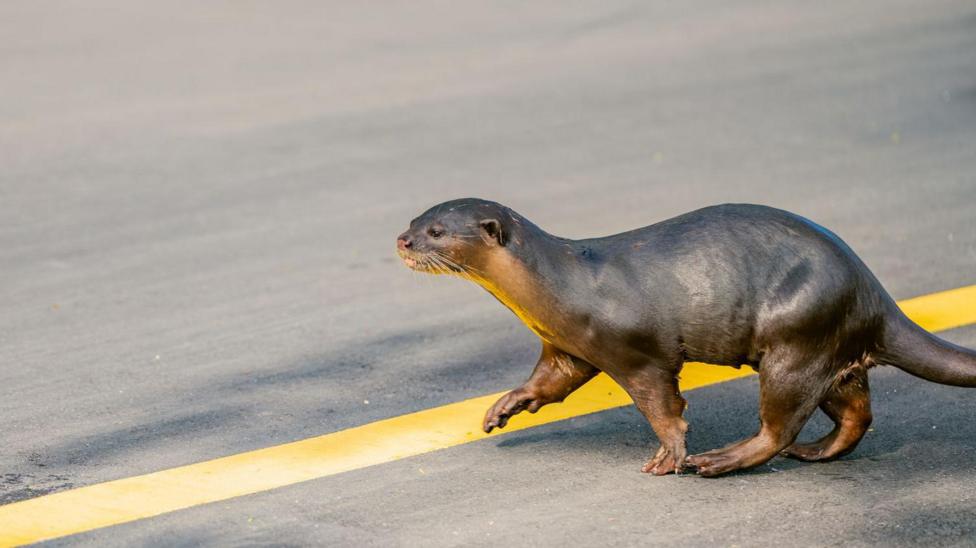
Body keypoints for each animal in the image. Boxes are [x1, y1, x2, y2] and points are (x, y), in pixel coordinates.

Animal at [396, 198, 976, 477]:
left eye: (437, 232)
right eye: (415, 219)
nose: (402, 240)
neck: (562, 282)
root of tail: (870, 291)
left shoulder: (635, 355)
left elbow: (663, 407)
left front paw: (669, 456)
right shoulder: (568, 349)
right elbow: (547, 383)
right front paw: (504, 407)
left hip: (796, 336)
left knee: (779, 425)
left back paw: (718, 462)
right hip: (828, 344)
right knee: (855, 411)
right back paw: (815, 453)